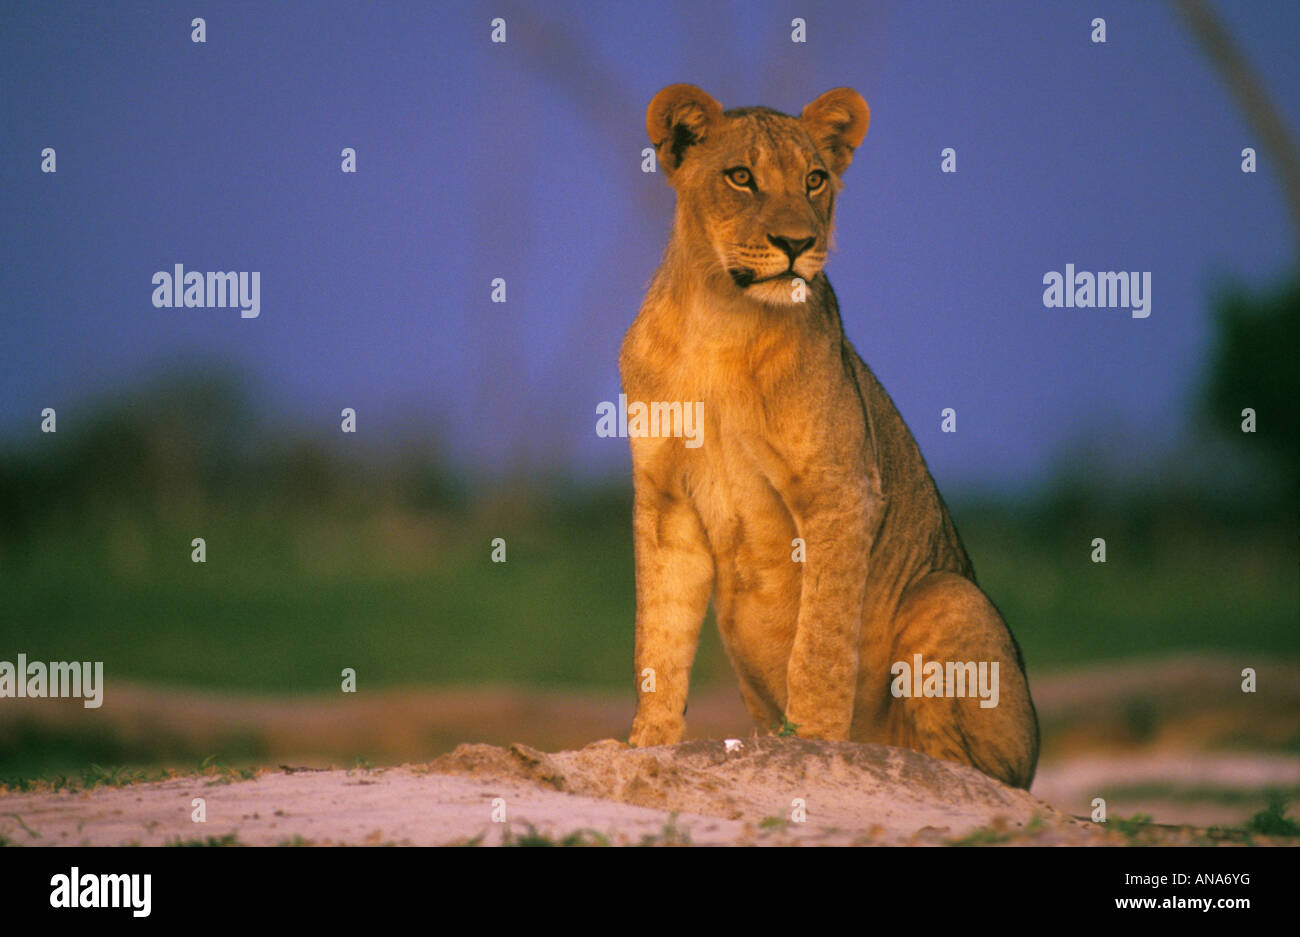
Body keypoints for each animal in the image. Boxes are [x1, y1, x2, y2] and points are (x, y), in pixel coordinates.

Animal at [619, 84, 1040, 789]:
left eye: (815, 180)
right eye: (741, 177)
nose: (797, 242)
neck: (721, 324)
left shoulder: (841, 491)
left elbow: (819, 638)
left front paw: (812, 743)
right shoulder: (666, 502)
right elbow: (659, 635)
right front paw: (645, 744)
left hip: (947, 595)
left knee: (966, 770)